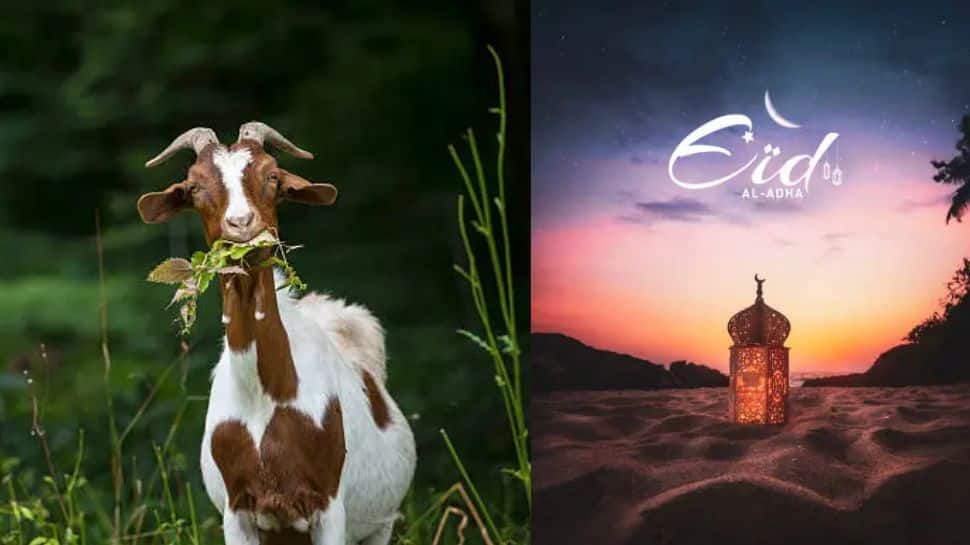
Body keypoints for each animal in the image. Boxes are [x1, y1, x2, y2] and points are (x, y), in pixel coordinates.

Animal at [137, 123, 416, 545]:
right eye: (195, 185)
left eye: (272, 176)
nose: (241, 224)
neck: (266, 394)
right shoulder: (237, 511)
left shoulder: (329, 506)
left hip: (379, 526)